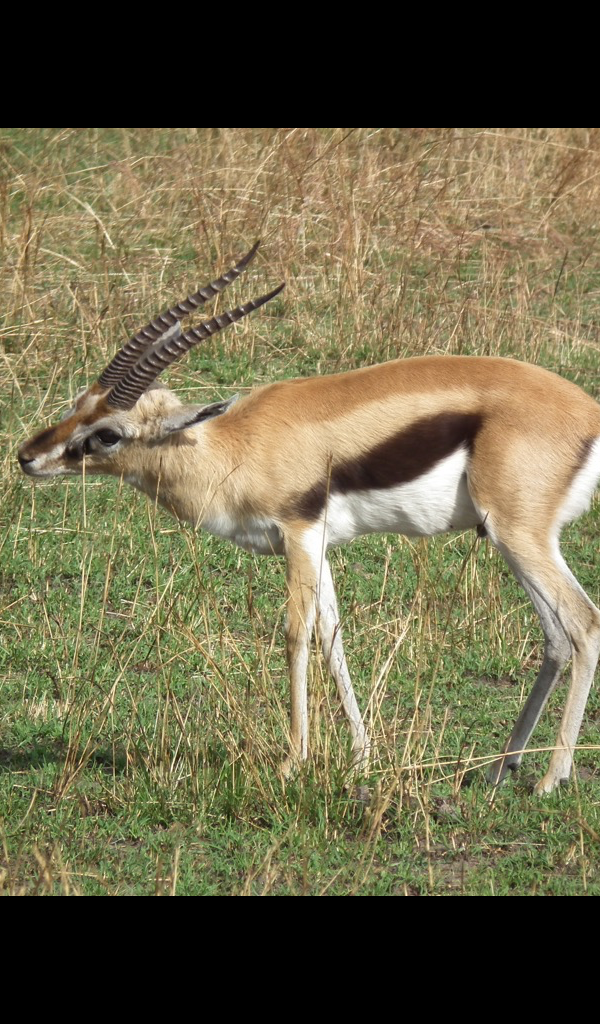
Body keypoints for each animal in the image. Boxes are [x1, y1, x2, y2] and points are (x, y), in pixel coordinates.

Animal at [18, 243, 600, 795]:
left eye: (108, 434)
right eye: (80, 401)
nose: (27, 457)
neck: (237, 449)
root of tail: (587, 412)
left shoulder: (298, 534)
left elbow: (297, 634)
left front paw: (292, 763)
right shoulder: (319, 546)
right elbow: (332, 637)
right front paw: (361, 757)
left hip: (518, 534)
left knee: (583, 622)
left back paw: (553, 778)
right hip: (509, 539)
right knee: (555, 635)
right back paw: (503, 767)